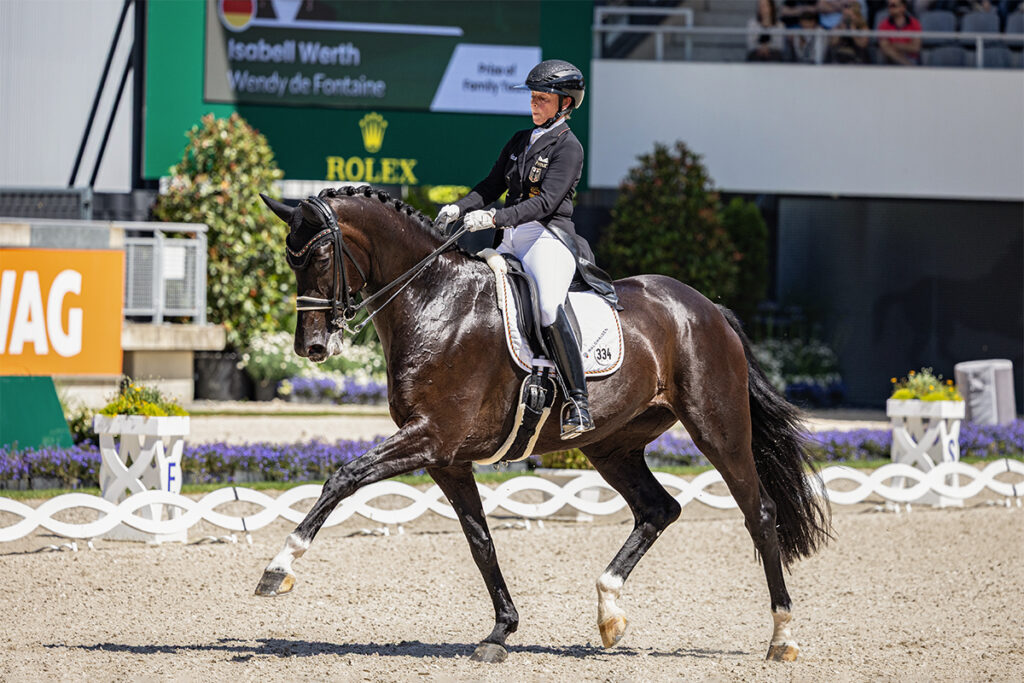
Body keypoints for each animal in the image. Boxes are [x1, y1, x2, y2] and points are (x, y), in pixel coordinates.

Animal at [255, 185, 831, 664]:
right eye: (289, 258)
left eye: (320, 256)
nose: (311, 347)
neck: (436, 301)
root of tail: (707, 307)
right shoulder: (447, 458)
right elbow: (480, 540)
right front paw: (500, 632)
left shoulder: (431, 437)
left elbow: (343, 477)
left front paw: (279, 568)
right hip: (613, 445)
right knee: (658, 509)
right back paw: (609, 613)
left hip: (717, 428)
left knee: (759, 513)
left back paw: (782, 637)